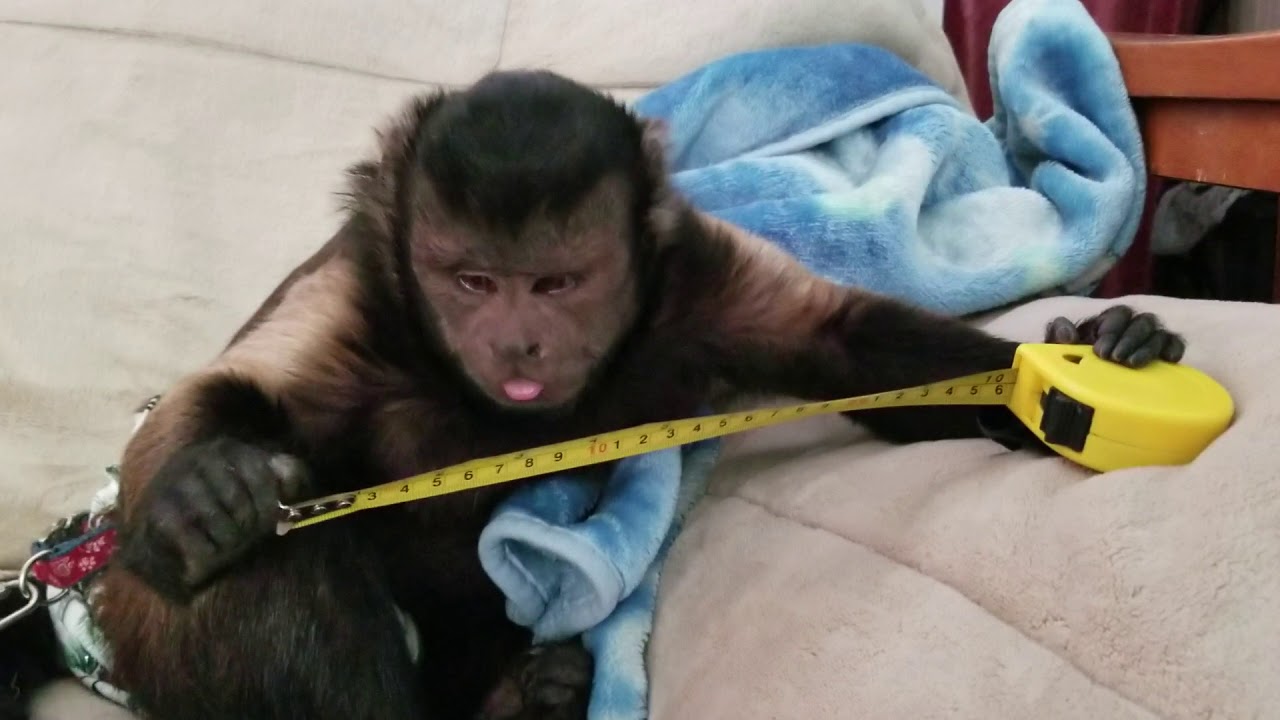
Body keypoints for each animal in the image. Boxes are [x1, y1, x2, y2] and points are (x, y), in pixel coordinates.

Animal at [7, 70, 1185, 720]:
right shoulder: (357, 302)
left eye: (557, 283)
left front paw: (1084, 356)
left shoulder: (694, 273)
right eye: (469, 280)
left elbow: (845, 342)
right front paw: (203, 490)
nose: (517, 337)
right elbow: (225, 403)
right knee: (244, 552)